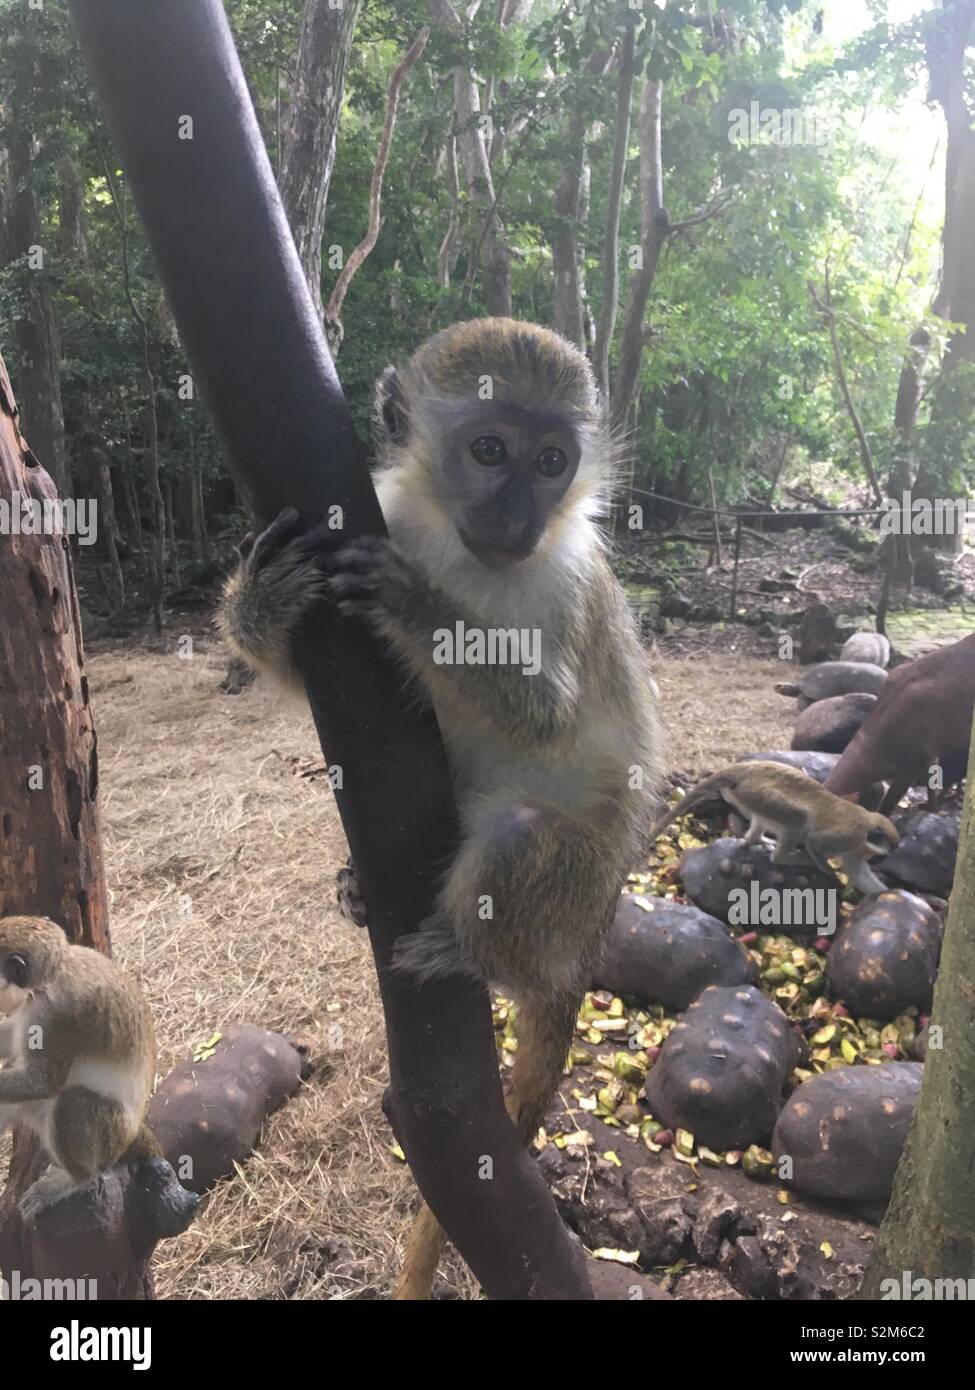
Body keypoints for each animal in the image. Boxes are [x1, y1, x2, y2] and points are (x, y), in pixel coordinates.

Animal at [0, 916, 161, 1222]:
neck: (52, 974)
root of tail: (132, 1134)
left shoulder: (53, 1018)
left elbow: (44, 1081)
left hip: (109, 1139)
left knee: (71, 1101)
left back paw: (77, 1178)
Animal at [218, 317, 663, 1297]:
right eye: (489, 450)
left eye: (552, 461)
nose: (519, 518)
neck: (464, 554)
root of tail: (591, 934)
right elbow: (294, 664)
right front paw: (263, 598)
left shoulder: (567, 578)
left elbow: (549, 712)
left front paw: (416, 606)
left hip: (580, 885)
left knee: (523, 839)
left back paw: (473, 948)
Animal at [649, 760, 899, 896]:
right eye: (882, 854)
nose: (879, 861)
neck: (867, 827)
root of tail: (745, 769)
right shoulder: (848, 837)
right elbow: (815, 842)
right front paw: (830, 872)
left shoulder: (856, 849)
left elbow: (858, 872)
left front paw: (888, 895)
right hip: (757, 793)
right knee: (798, 819)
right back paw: (785, 857)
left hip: (750, 797)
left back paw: (757, 840)